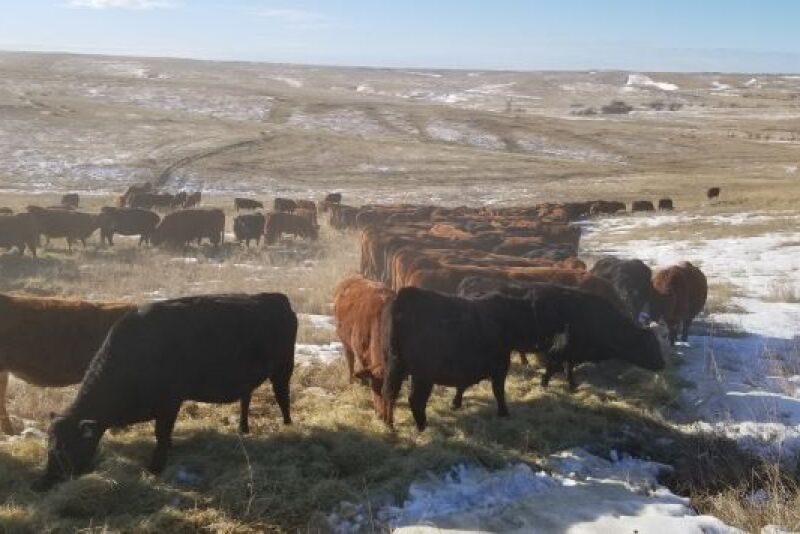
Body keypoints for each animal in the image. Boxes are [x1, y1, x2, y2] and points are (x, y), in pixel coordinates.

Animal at [35, 293, 297, 490]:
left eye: (67, 448)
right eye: (49, 445)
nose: (45, 481)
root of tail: (276, 297)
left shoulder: (169, 403)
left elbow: (161, 434)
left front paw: (156, 466)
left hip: (284, 367)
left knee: (282, 396)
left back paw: (288, 426)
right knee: (246, 398)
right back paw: (243, 428)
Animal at [334, 276, 395, 422]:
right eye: (376, 389)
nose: (385, 418)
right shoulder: (361, 354)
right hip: (346, 342)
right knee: (350, 361)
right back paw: (351, 380)